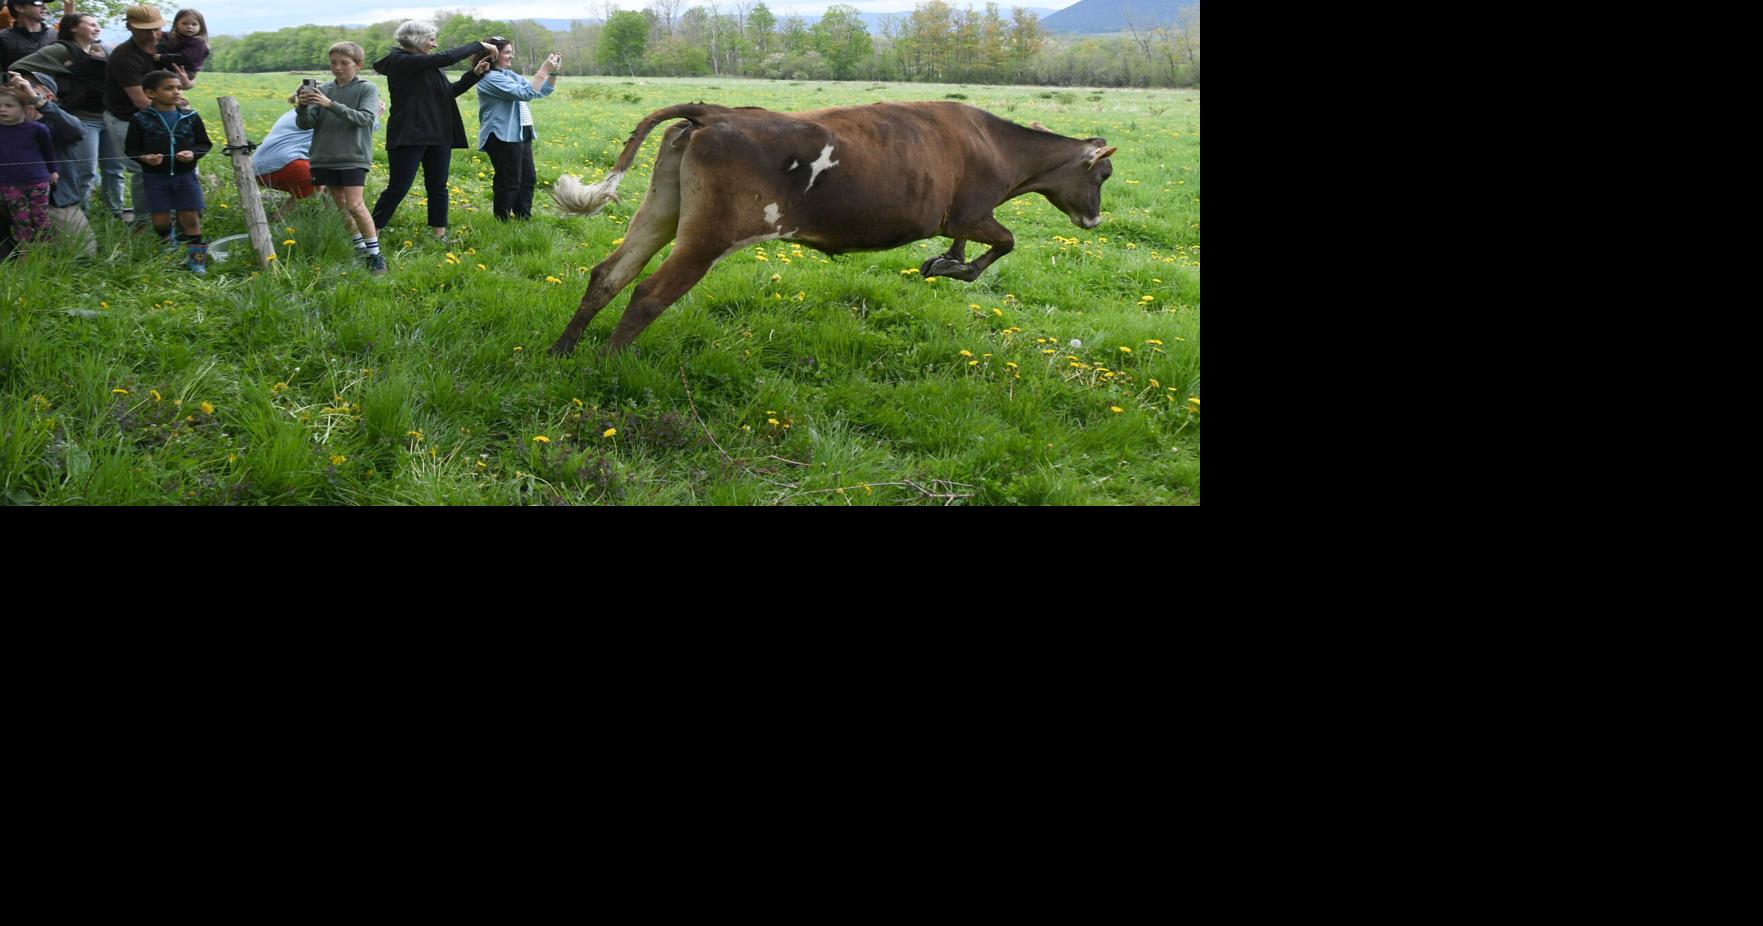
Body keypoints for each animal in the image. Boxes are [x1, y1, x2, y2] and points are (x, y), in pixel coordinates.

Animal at [546, 101, 1118, 356]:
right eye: (1104, 175)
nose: (1093, 219)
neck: (994, 144)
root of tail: (714, 111)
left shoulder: (959, 219)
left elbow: (972, 246)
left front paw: (944, 260)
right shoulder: (971, 213)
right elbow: (1005, 242)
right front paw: (951, 267)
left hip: (661, 212)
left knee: (608, 274)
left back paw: (562, 351)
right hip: (709, 236)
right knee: (647, 293)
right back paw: (610, 365)